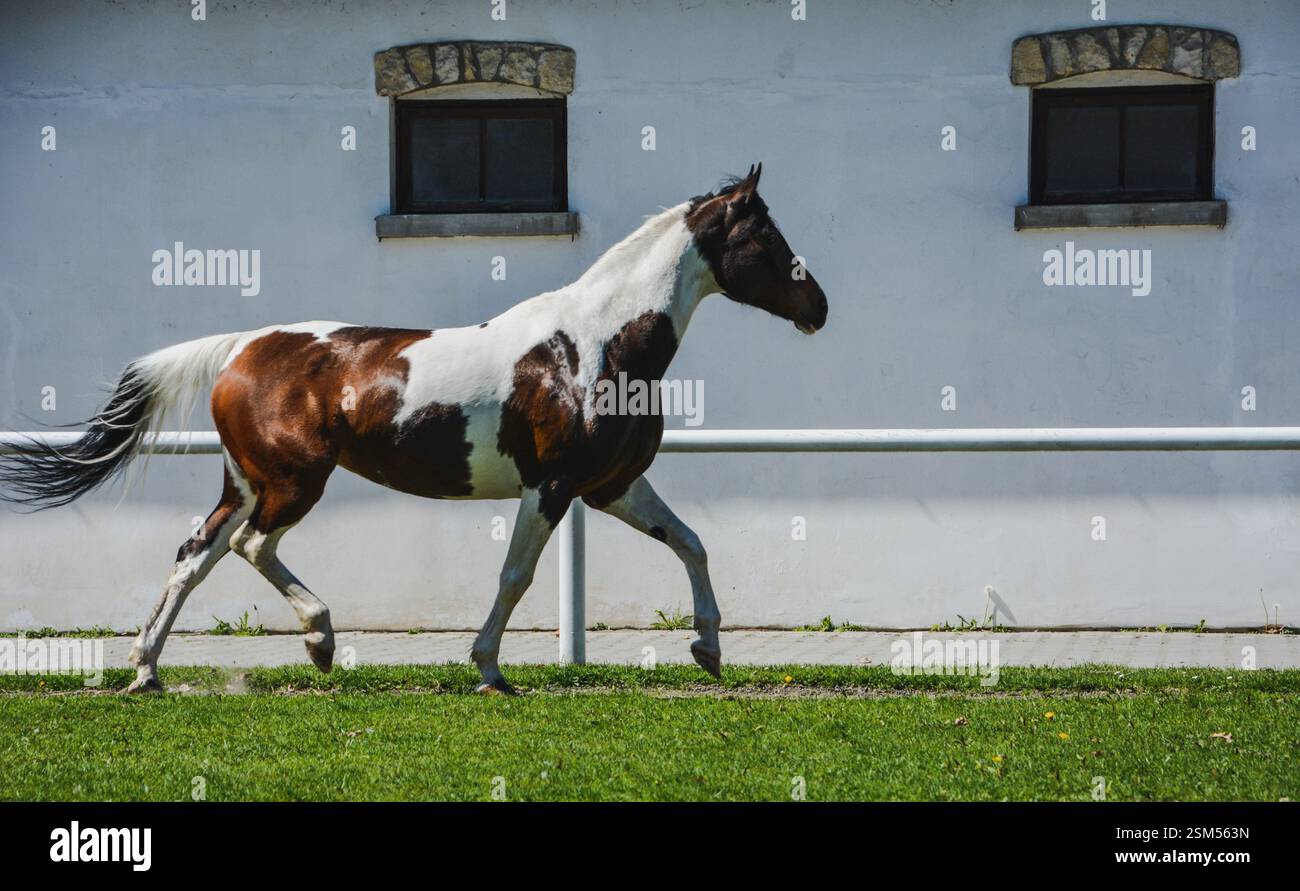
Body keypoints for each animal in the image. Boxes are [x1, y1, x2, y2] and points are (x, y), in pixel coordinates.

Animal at [0, 164, 828, 694]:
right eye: (768, 237)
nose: (817, 305)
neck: (595, 342)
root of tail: (240, 348)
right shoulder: (552, 485)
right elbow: (516, 576)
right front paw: (489, 669)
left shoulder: (613, 486)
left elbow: (692, 542)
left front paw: (708, 647)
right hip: (292, 483)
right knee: (249, 547)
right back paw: (320, 640)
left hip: (246, 483)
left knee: (193, 555)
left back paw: (145, 670)